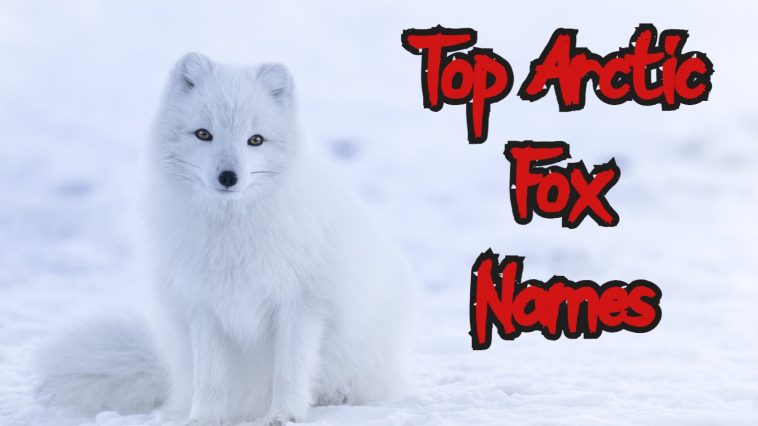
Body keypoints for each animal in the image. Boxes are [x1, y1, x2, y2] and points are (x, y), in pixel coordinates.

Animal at [34, 53, 415, 426]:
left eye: (255, 140)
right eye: (204, 134)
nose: (228, 177)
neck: (232, 234)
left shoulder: (301, 304)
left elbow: (290, 371)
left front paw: (285, 415)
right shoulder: (202, 306)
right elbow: (210, 377)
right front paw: (204, 418)